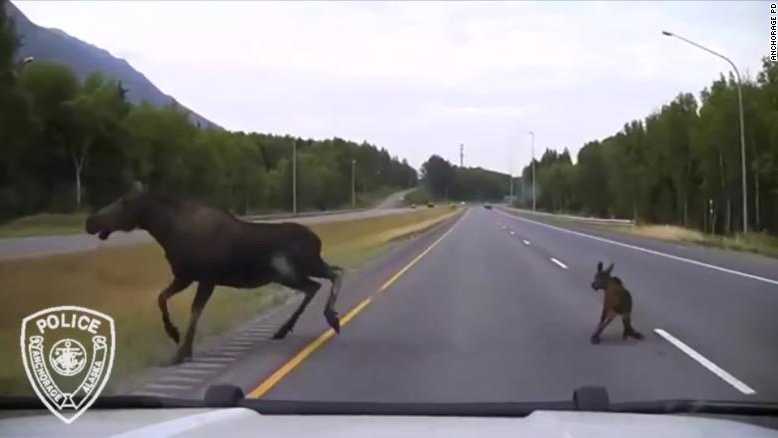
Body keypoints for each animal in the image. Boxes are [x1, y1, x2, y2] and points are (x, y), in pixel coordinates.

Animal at [85, 182, 343, 364]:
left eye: (125, 202)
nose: (90, 222)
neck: (166, 232)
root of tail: (317, 240)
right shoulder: (184, 276)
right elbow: (161, 297)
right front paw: (174, 333)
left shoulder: (206, 279)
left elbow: (194, 311)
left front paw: (182, 351)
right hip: (299, 269)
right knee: (325, 278)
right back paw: (293, 326)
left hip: (295, 270)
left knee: (326, 279)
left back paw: (326, 318)